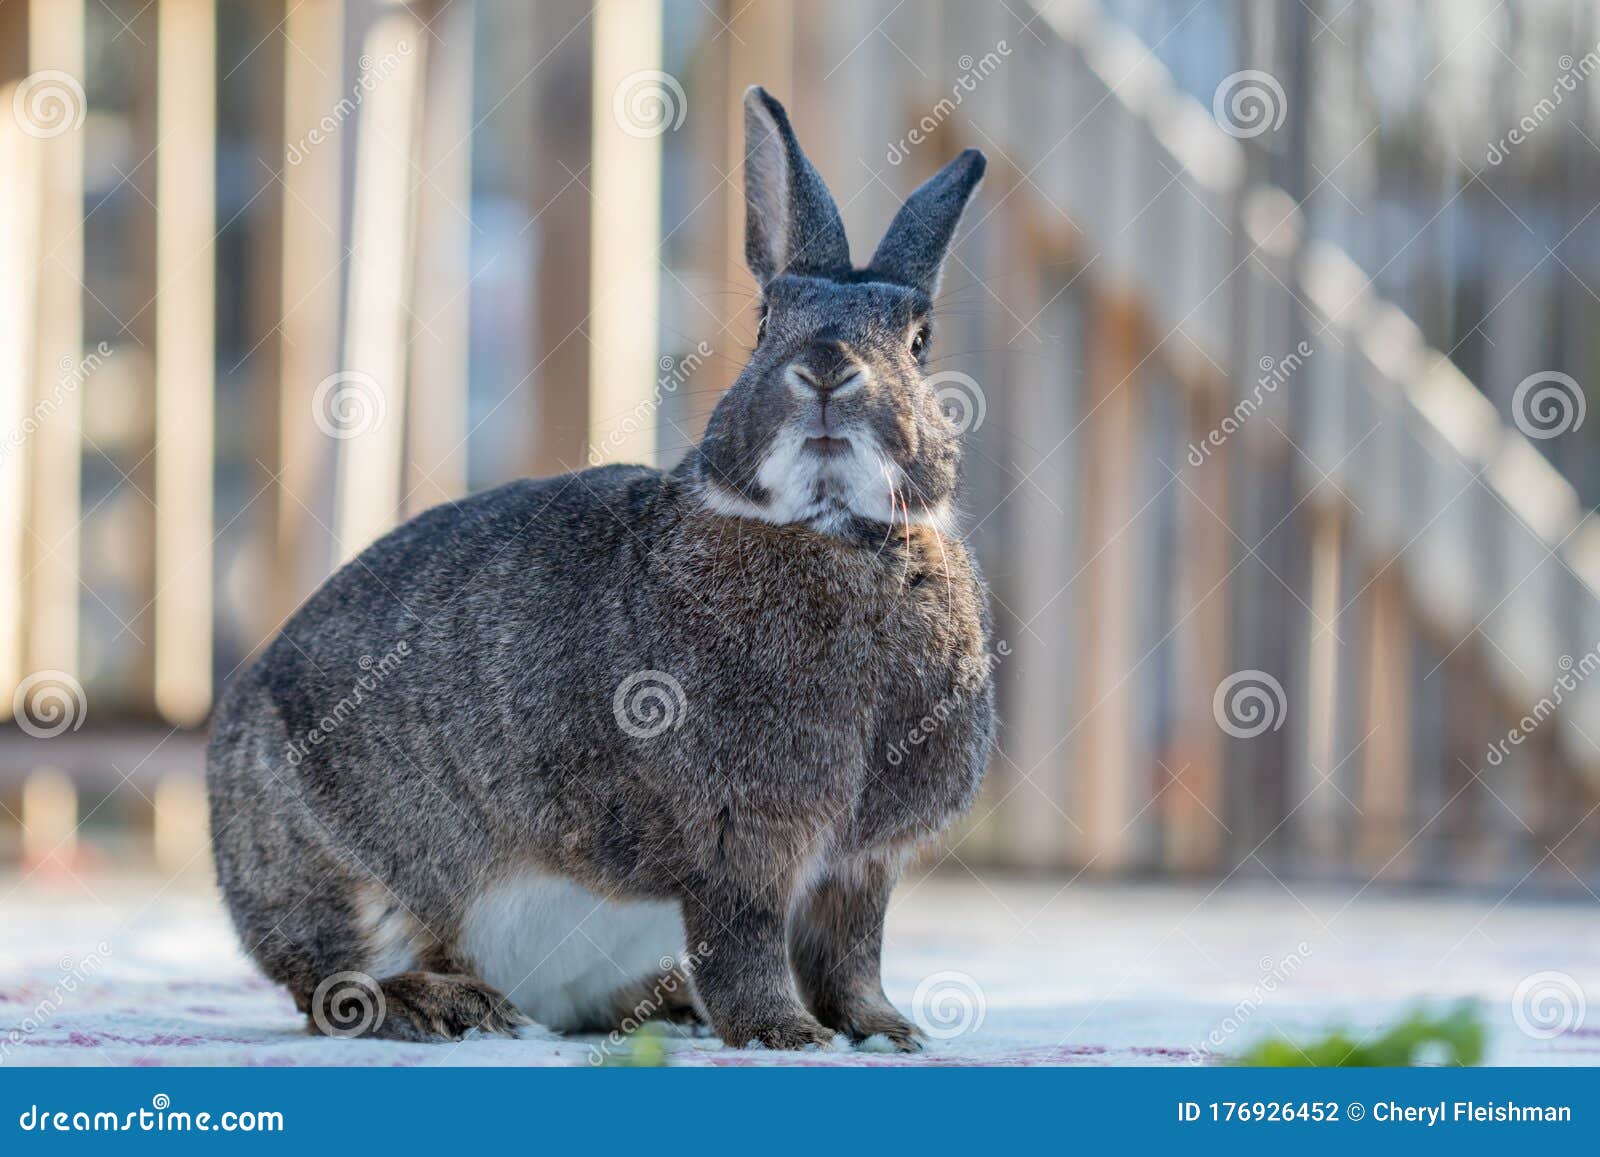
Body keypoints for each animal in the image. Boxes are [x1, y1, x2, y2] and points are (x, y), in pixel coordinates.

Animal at [206, 86, 994, 1052]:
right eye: (766, 324)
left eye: (919, 340)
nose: (826, 370)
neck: (835, 531)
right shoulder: (738, 847)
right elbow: (748, 944)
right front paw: (785, 1034)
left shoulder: (861, 862)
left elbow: (853, 955)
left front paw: (885, 1031)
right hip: (342, 871)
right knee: (329, 982)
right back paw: (443, 1003)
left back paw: (663, 1007)